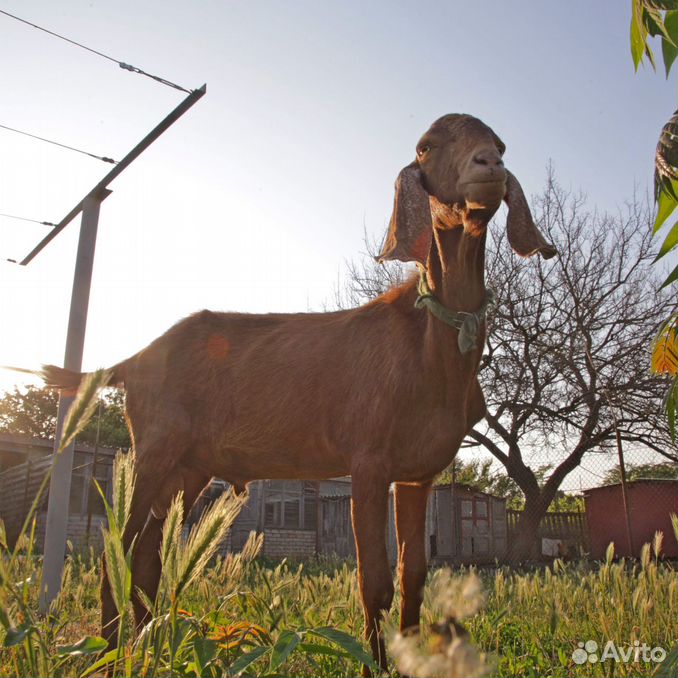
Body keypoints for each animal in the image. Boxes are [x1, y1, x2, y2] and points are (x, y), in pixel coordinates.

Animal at [42, 114, 556, 676]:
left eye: (501, 143)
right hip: (154, 448)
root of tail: (133, 359)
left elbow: (413, 576)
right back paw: (110, 654)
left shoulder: (418, 474)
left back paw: (146, 644)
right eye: (426, 146)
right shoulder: (368, 461)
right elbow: (374, 581)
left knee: (145, 557)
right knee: (117, 551)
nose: (489, 166)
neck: (431, 345)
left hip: (188, 467)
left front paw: (406, 656)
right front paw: (372, 663)